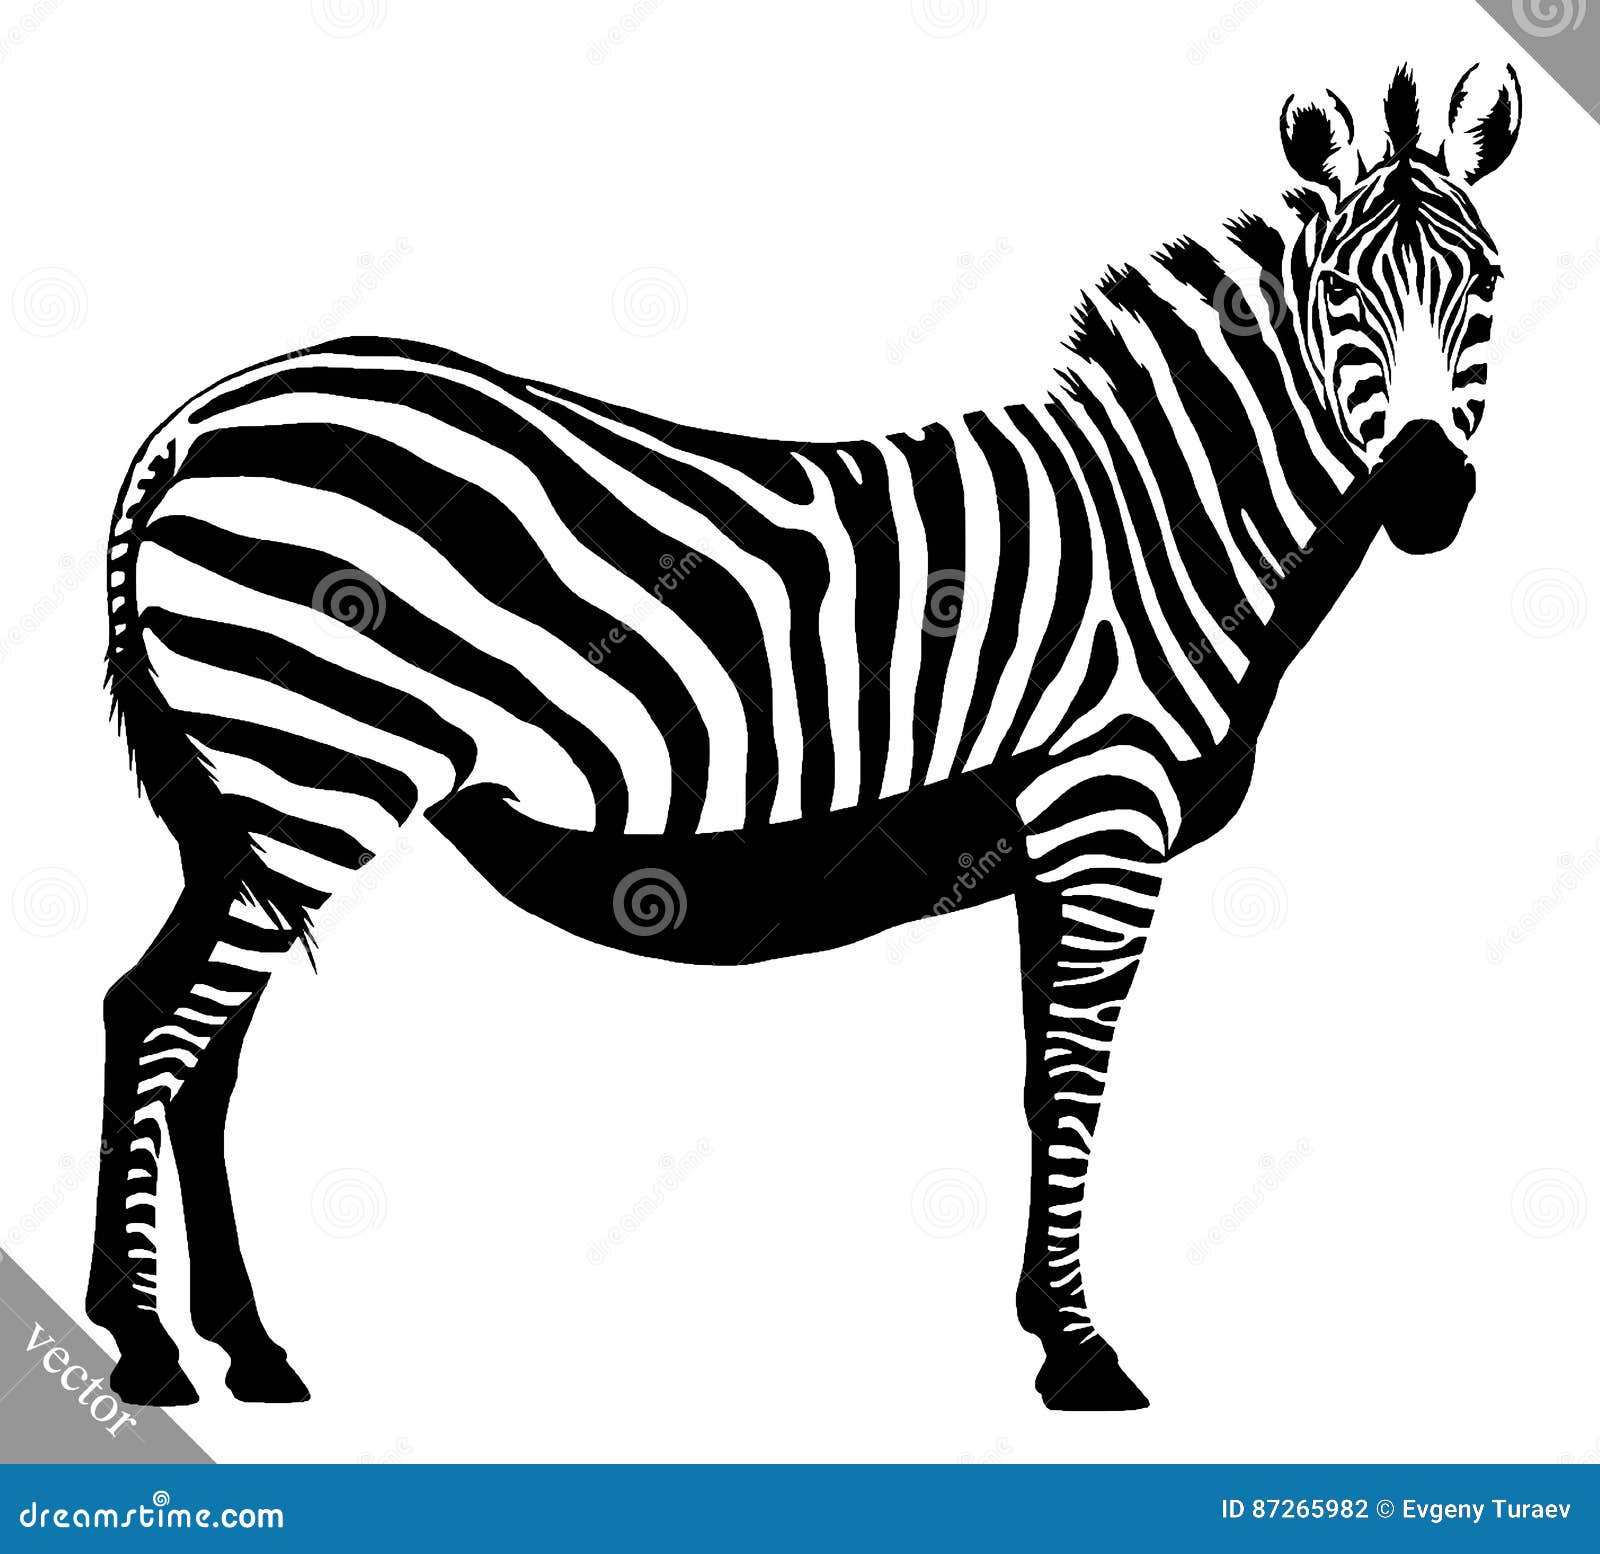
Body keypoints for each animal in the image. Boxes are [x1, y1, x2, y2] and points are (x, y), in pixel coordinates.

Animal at [89, 63, 1520, 1411]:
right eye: (1337, 293)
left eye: (1488, 287)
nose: (1424, 495)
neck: (1160, 520)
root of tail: (195, 422)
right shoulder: (1104, 804)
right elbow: (1074, 1077)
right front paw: (1079, 1351)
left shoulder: (1047, 835)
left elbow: (1036, 1075)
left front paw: (1042, 1324)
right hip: (316, 775)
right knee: (158, 1015)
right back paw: (148, 1346)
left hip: (257, 803)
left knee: (199, 1040)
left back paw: (248, 1348)